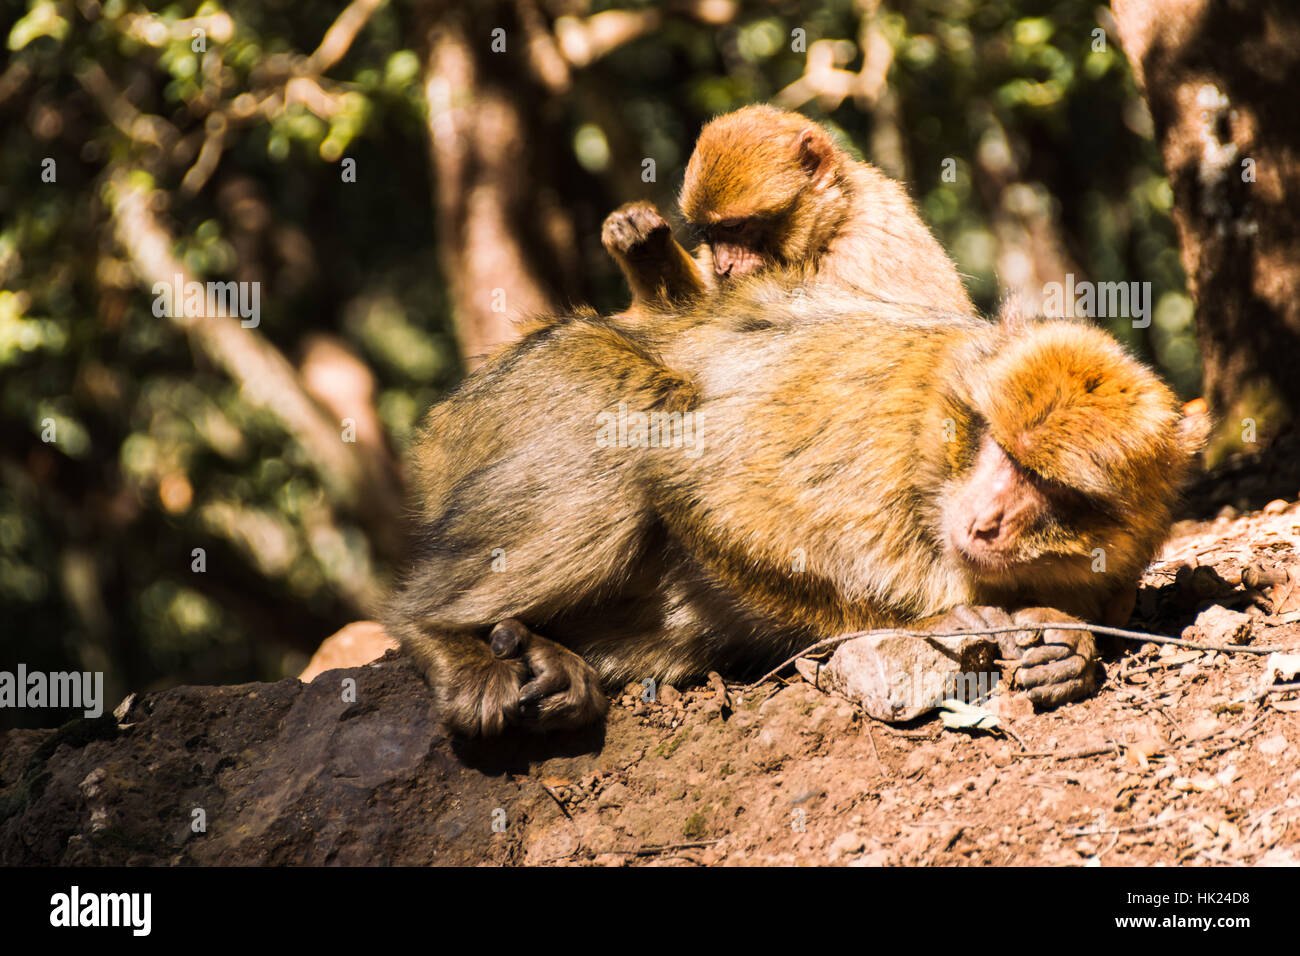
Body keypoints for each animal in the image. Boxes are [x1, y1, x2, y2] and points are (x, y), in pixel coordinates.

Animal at [387, 279, 1206, 737]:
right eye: (1002, 453)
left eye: (1050, 488)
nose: (985, 522)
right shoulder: (871, 426)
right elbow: (690, 481)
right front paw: (939, 623)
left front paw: (1068, 647)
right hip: (528, 394)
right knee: (632, 411)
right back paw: (435, 628)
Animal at [600, 105, 974, 319]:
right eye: (709, 233)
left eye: (734, 227)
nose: (724, 267)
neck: (834, 227)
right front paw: (642, 245)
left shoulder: (859, 260)